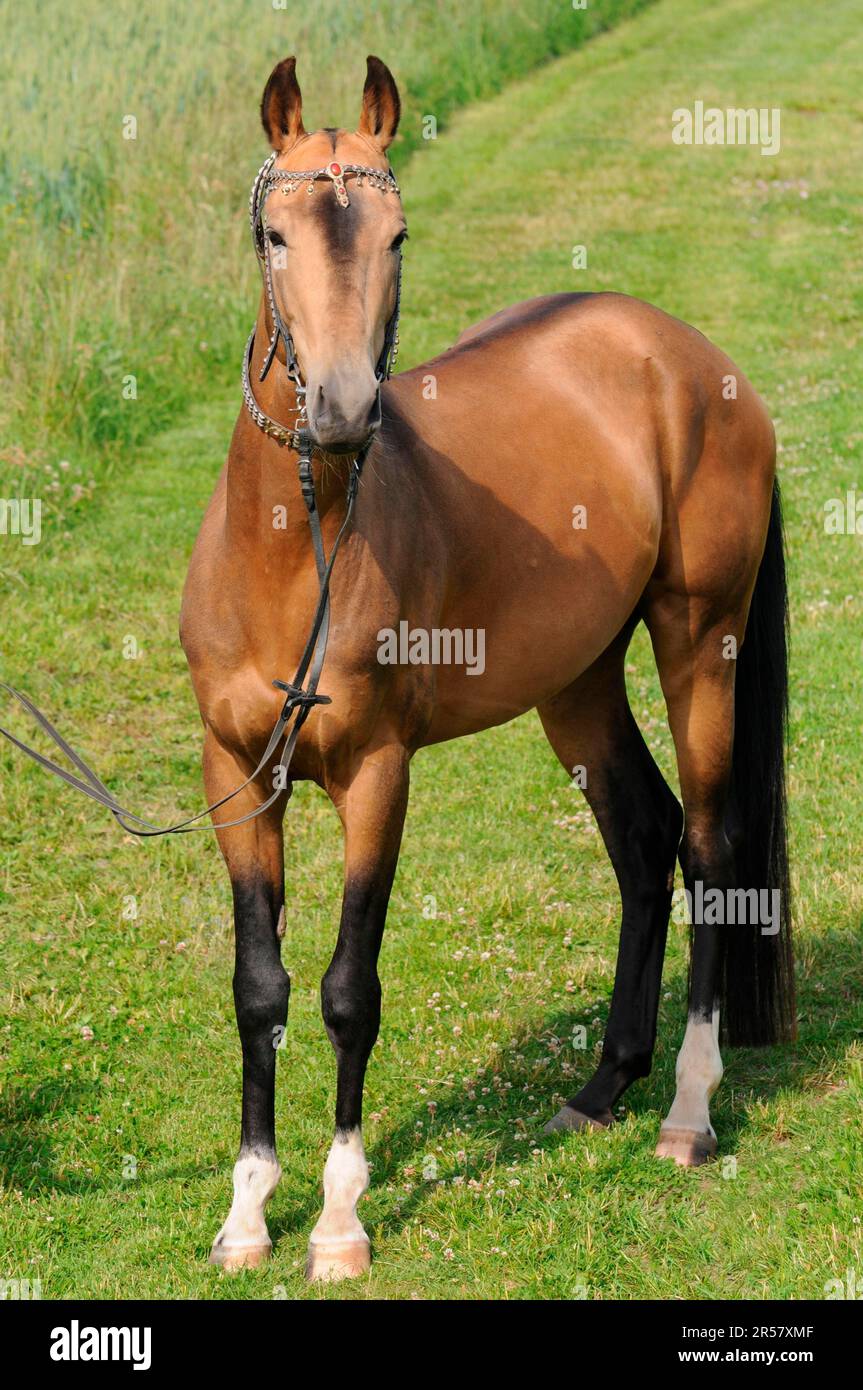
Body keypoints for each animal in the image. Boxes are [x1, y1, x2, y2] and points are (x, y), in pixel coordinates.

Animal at [178, 54, 794, 1280]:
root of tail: (688, 357)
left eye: (398, 235)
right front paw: (245, 1213)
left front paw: (339, 1220)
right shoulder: (235, 779)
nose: (341, 410)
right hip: (578, 681)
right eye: (274, 234)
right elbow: (258, 987)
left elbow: (347, 990)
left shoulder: (378, 775)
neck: (293, 548)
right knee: (643, 838)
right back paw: (601, 1086)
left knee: (707, 848)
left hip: (698, 641)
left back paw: (685, 1113)